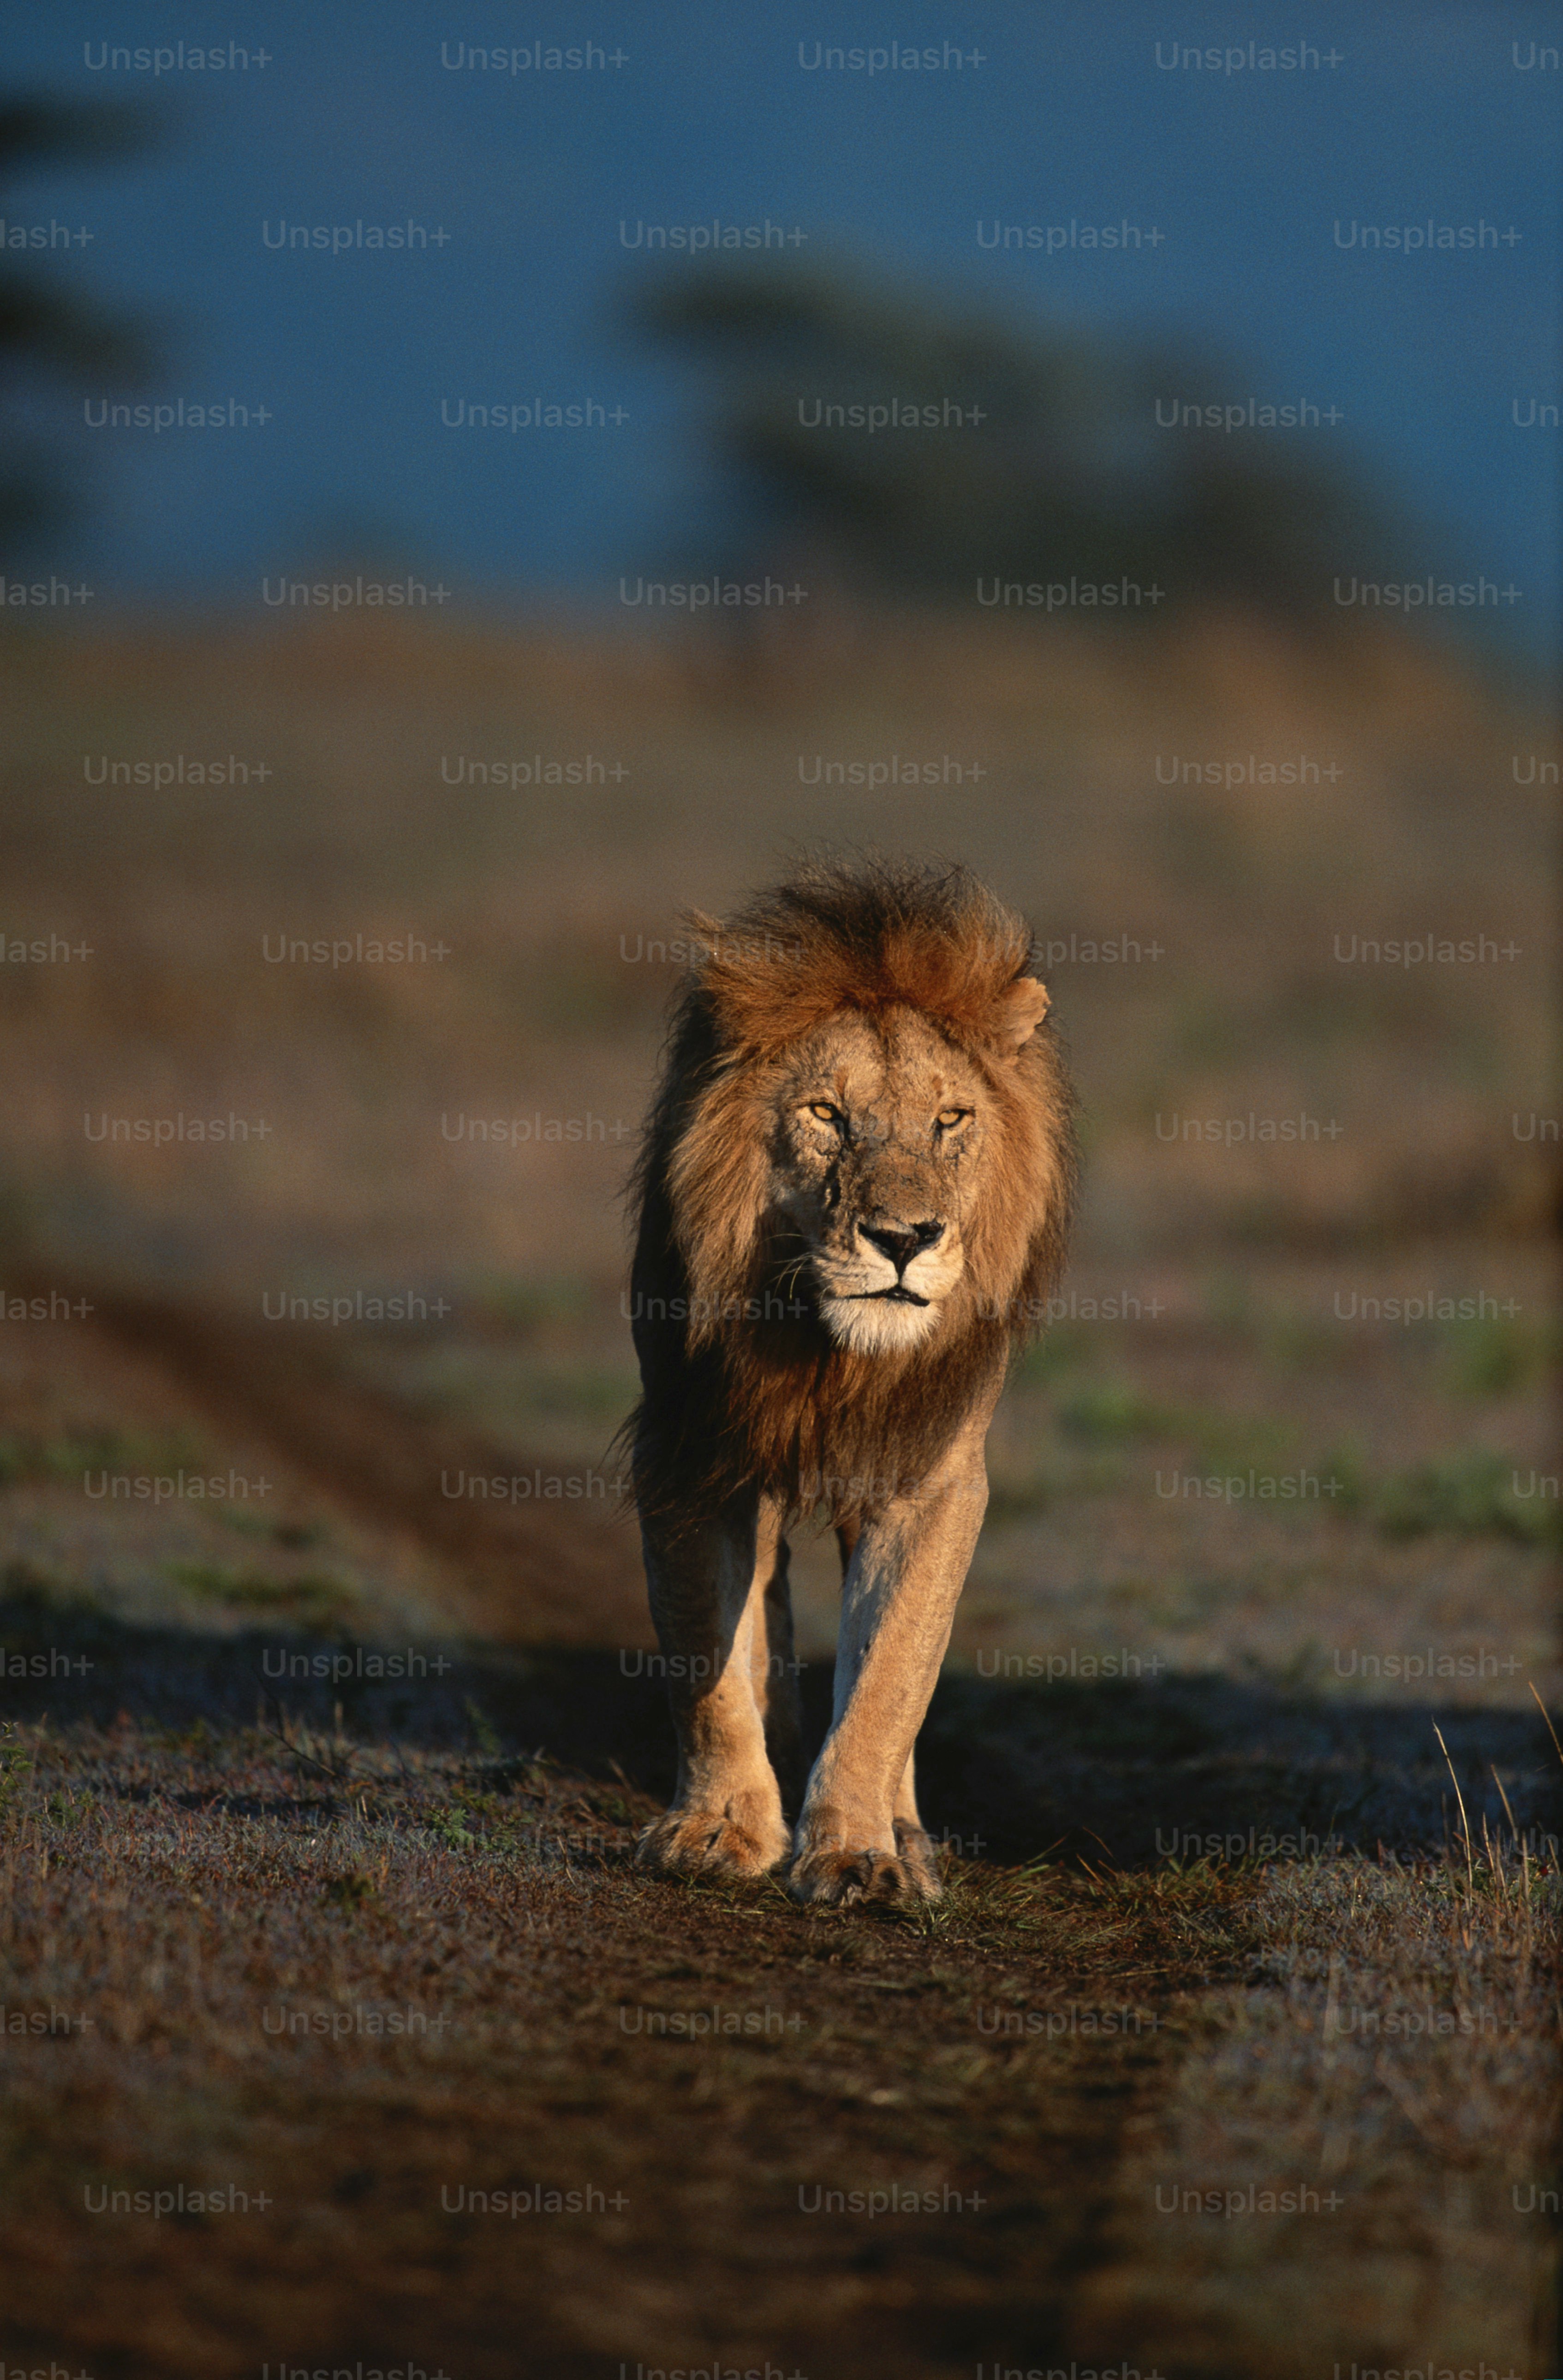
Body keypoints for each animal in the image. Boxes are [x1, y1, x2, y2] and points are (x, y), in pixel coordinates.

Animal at [621, 857, 1077, 1905]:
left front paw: (860, 1850)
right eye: (825, 1115)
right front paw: (717, 1825)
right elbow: (707, 1660)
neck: (828, 1354)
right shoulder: (686, 1452)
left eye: (950, 1119)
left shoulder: (932, 1476)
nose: (904, 1237)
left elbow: (890, 1672)